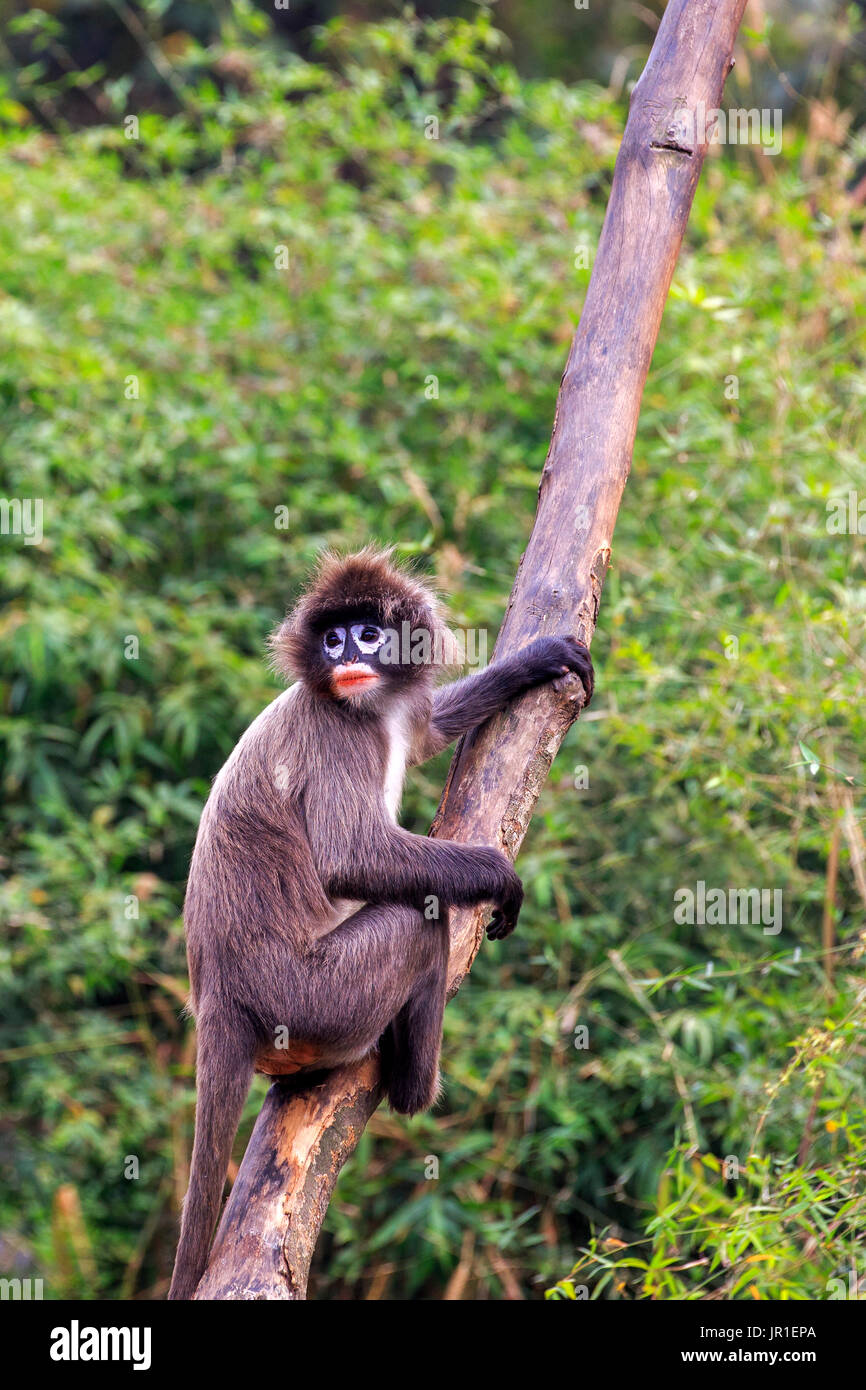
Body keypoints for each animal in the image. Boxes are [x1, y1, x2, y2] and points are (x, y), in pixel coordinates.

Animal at [167, 547, 593, 1299]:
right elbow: (349, 857)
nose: (345, 657)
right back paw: (413, 1087)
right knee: (417, 921)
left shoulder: (395, 716)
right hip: (312, 996)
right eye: (333, 638)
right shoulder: (338, 732)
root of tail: (217, 998)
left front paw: (536, 661)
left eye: (367, 635)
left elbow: (426, 735)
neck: (366, 706)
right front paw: (499, 875)